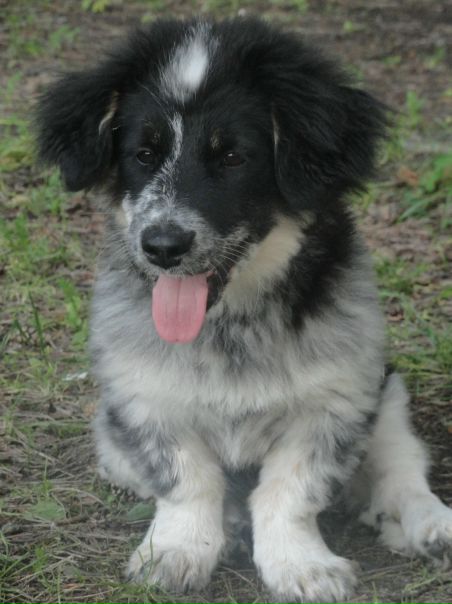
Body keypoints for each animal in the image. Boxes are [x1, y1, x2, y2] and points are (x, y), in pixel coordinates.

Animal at [36, 17, 452, 603]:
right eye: (143, 154)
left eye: (233, 157)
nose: (161, 246)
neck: (229, 325)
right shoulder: (144, 396)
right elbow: (188, 480)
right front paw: (178, 550)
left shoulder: (336, 399)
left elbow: (291, 490)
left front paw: (301, 565)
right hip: (111, 438)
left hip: (388, 395)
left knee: (401, 469)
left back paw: (426, 524)